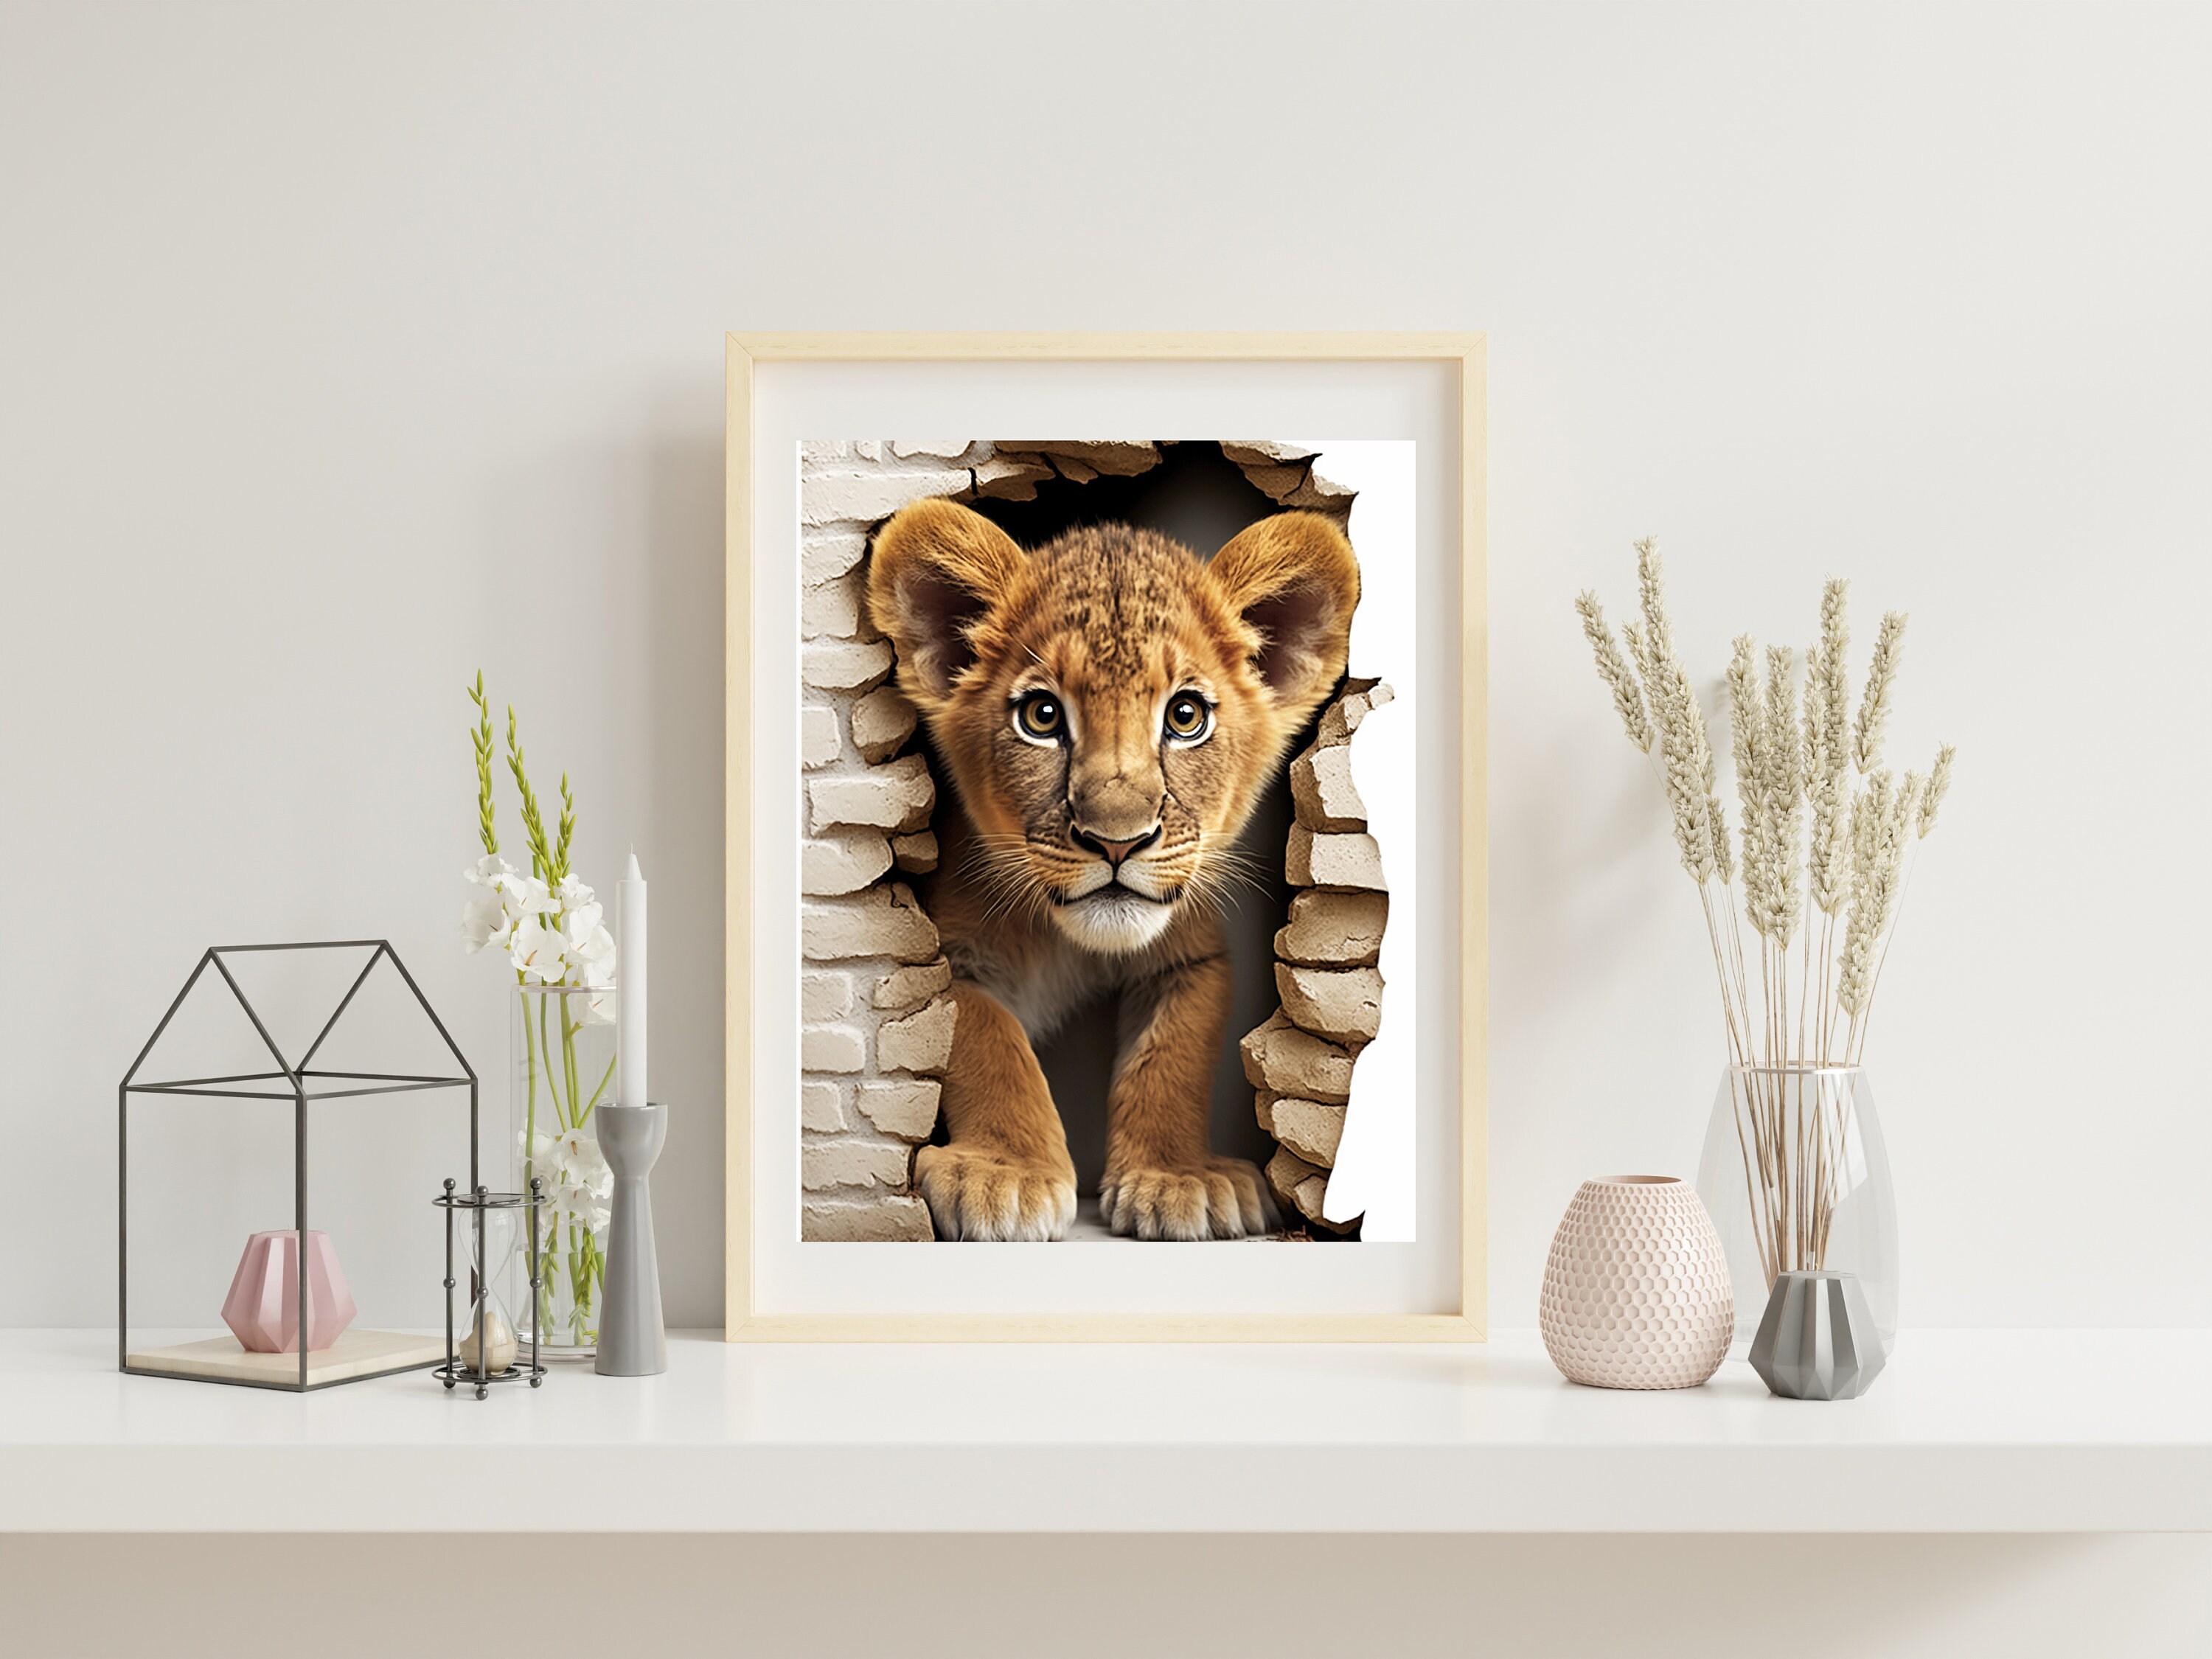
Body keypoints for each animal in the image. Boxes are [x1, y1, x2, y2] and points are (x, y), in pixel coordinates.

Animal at [866, 497, 1361, 1240]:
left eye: (1185, 716)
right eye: (1042, 716)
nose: (1117, 842)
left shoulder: (1190, 953)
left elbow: (1171, 1058)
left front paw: (1183, 1180)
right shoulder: (944, 949)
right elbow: (987, 1041)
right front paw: (1003, 1175)